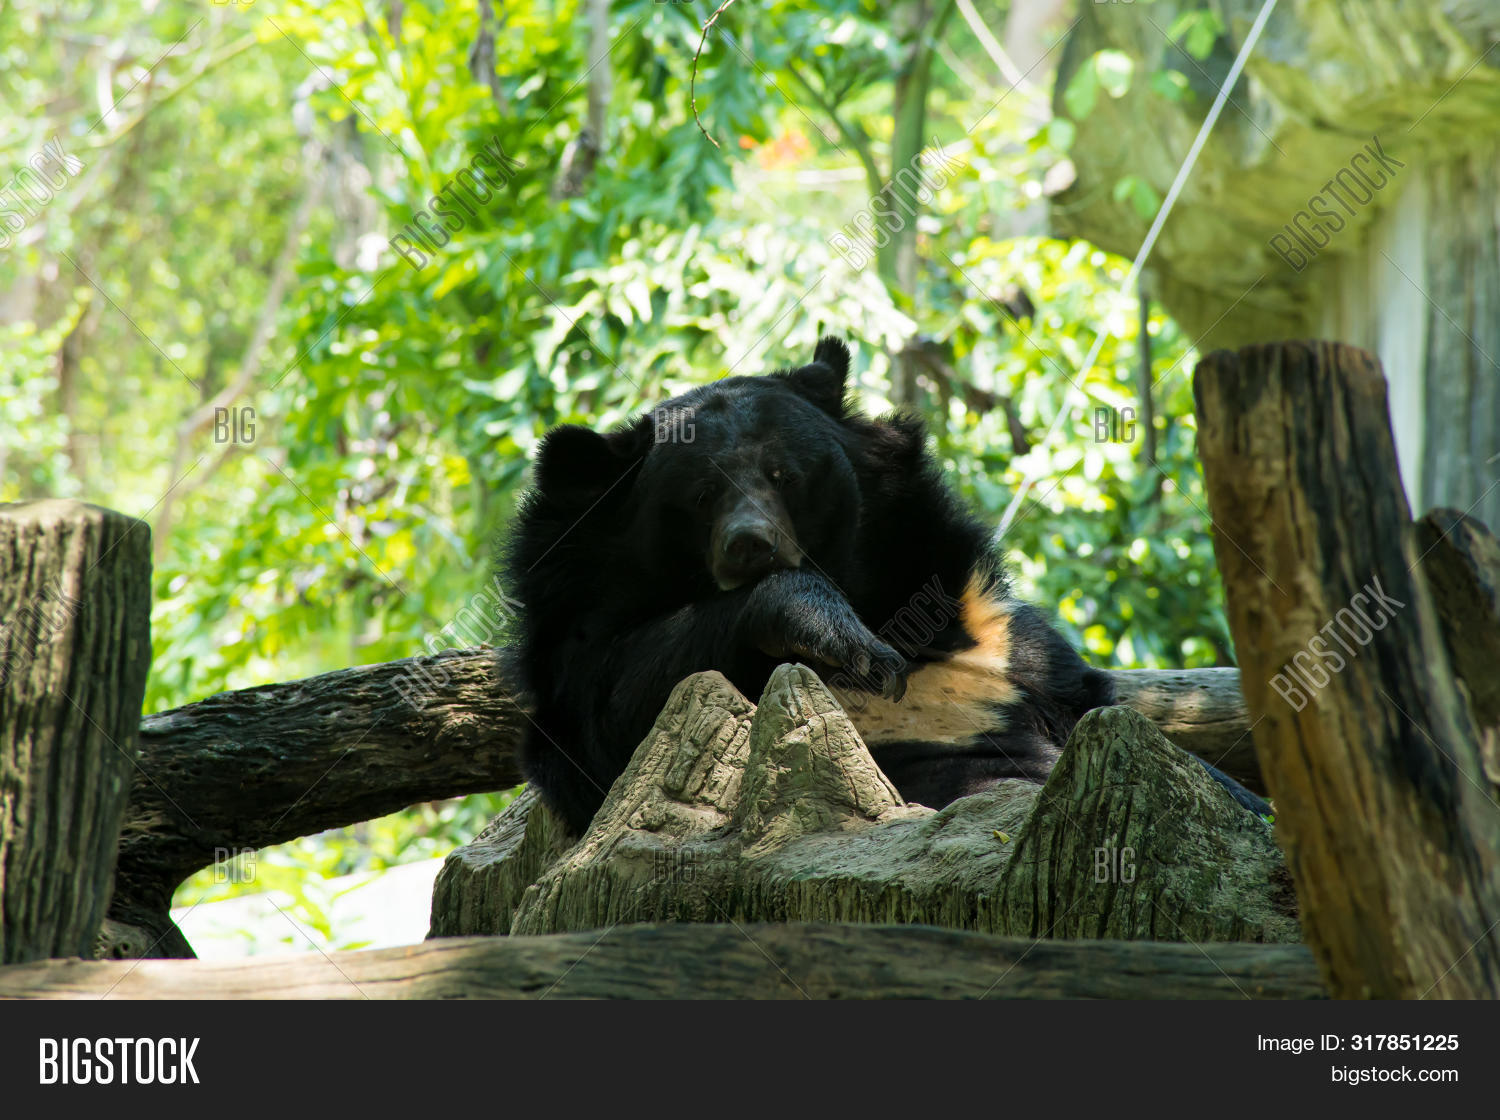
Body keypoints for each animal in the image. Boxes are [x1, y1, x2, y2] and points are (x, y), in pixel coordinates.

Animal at [505, 336, 1269, 834]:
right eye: (698, 496)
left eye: (784, 474)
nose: (751, 546)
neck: (876, 602)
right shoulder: (577, 624)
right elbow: (611, 704)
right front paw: (837, 634)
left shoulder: (994, 632)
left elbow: (1091, 707)